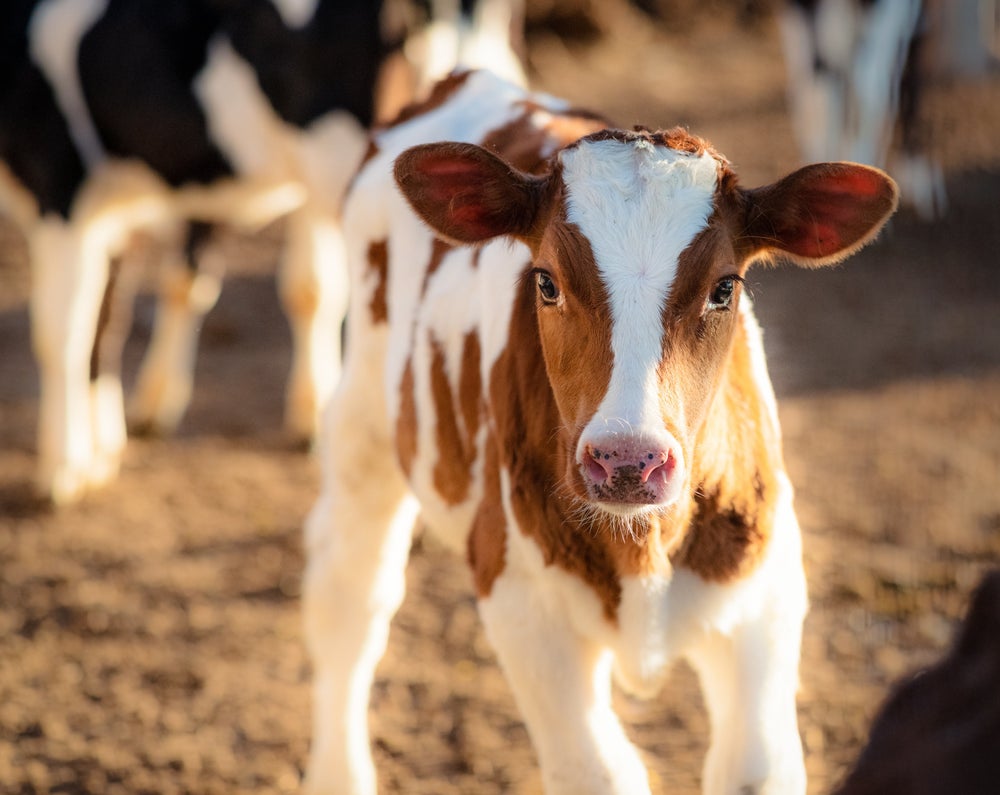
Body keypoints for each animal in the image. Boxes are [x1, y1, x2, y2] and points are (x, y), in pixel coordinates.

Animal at [301, 68, 898, 795]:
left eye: (724, 288)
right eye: (547, 282)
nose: (627, 461)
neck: (644, 545)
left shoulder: (766, 597)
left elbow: (754, 766)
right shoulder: (521, 603)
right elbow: (600, 770)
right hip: (363, 417)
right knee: (350, 597)